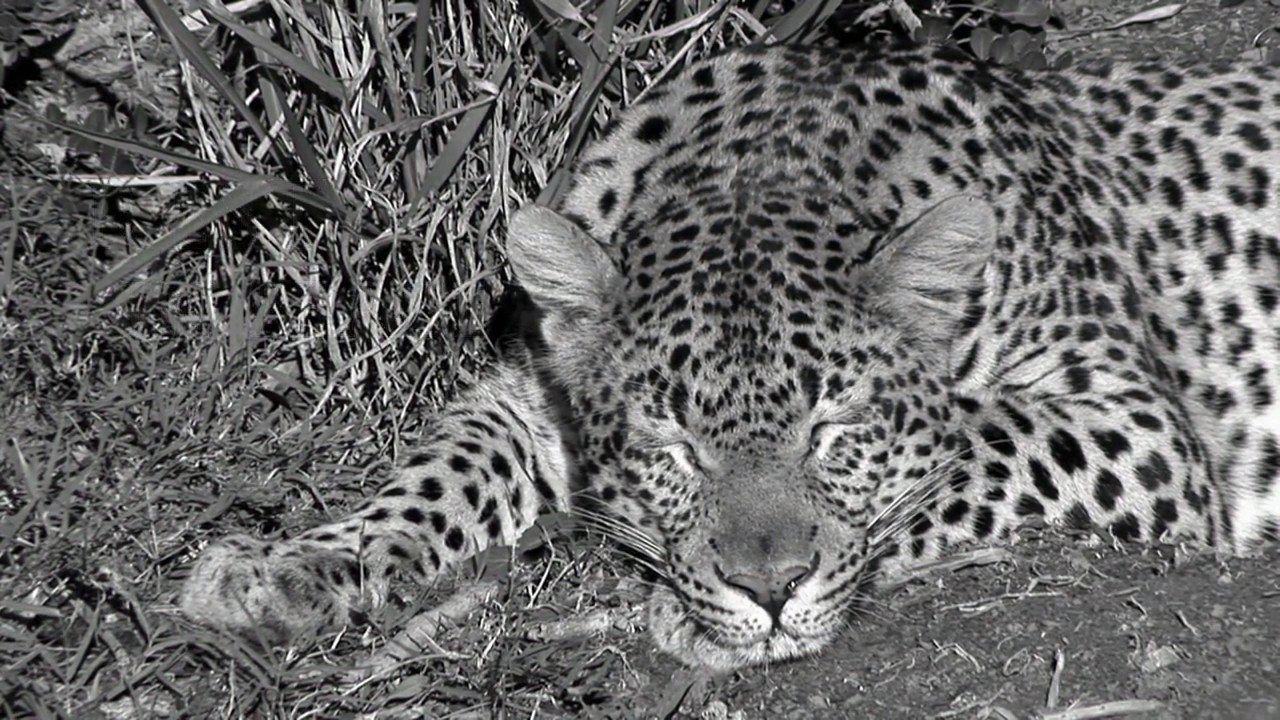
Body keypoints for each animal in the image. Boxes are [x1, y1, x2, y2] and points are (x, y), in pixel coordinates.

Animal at [180, 43, 1280, 671]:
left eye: (833, 437)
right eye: (674, 451)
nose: (769, 592)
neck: (774, 156)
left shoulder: (1138, 424)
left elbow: (973, 445)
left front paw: (689, 614)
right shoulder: (529, 398)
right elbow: (442, 475)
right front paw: (289, 568)